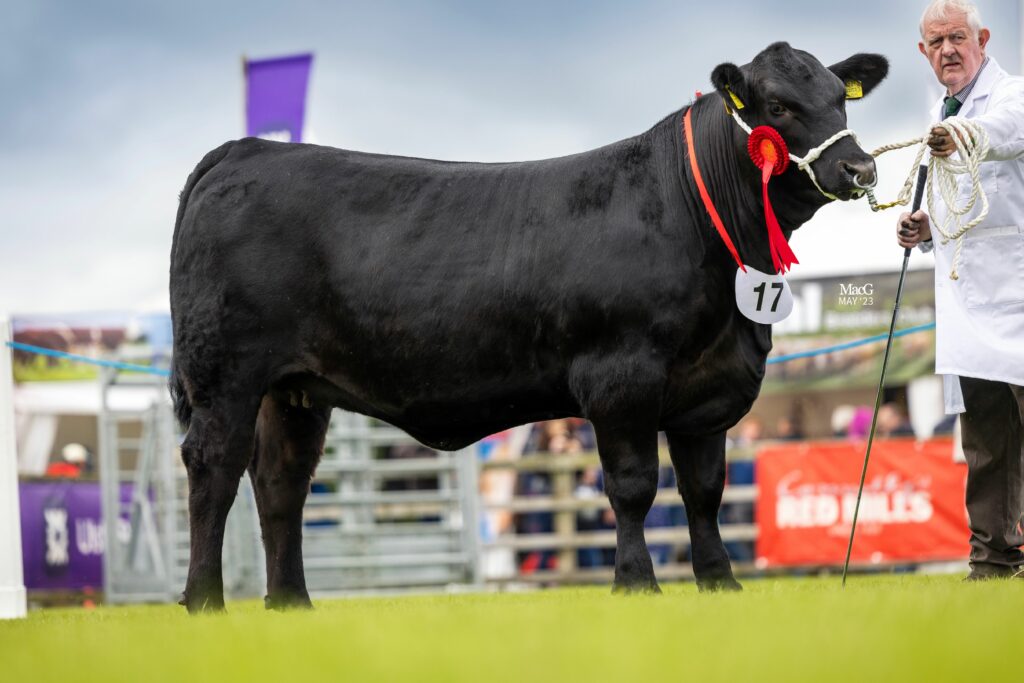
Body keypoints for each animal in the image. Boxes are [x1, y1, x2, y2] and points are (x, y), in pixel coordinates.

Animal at [169, 42, 888, 612]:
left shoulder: (708, 390)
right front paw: (637, 582)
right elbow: (633, 486)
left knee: (281, 482)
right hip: (225, 374)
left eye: (839, 99)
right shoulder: (621, 376)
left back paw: (292, 603)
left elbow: (704, 490)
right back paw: (204, 601)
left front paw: (720, 583)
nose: (859, 167)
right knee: (214, 467)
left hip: (294, 390)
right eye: (779, 106)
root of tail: (245, 151)